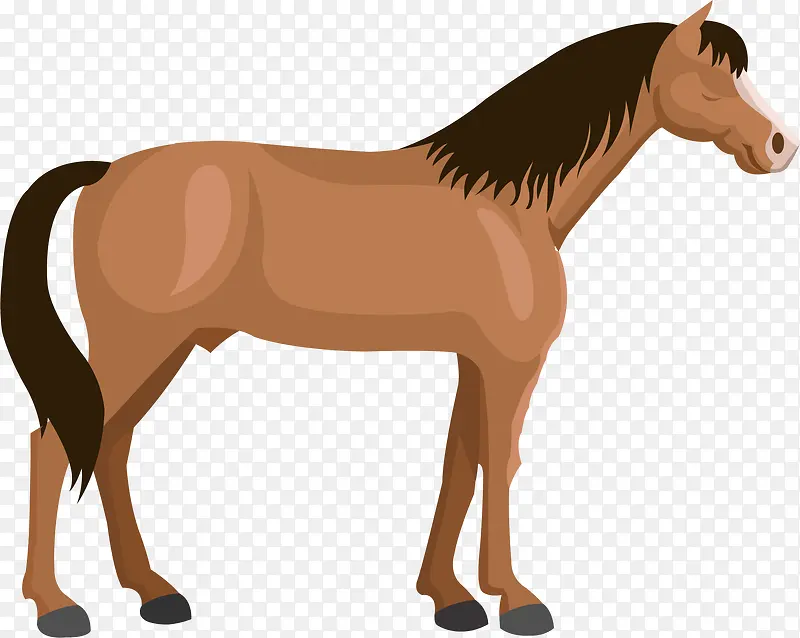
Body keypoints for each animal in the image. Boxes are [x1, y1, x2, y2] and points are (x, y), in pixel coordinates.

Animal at [2, 3, 797, 636]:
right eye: (715, 74)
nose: (780, 146)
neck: (511, 202)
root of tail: (105, 170)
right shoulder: (512, 363)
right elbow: (501, 462)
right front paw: (518, 601)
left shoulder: (473, 358)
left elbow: (461, 462)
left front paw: (450, 598)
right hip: (136, 344)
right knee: (55, 447)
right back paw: (58, 608)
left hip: (161, 350)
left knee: (110, 449)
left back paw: (154, 593)